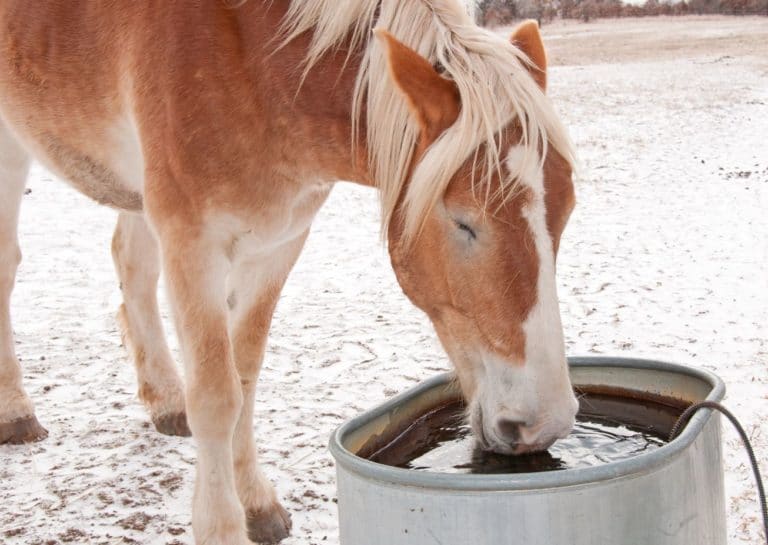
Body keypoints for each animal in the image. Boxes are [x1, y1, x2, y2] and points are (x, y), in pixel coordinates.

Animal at [0, 1, 578, 543]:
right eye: (463, 221)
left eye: (567, 211)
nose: (543, 422)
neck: (255, 58)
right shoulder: (192, 245)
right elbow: (216, 395)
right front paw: (222, 527)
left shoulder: (278, 245)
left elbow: (244, 377)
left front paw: (256, 505)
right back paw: (16, 412)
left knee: (131, 266)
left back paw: (164, 399)